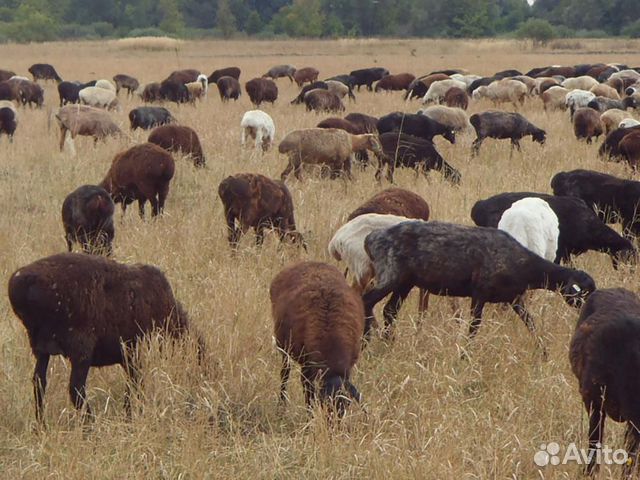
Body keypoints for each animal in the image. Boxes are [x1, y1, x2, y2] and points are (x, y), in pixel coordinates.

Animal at [8, 252, 196, 423]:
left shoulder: (129, 355)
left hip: (41, 349)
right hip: (80, 350)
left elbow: (135, 383)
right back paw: (90, 426)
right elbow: (135, 383)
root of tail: (24, 282)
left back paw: (41, 426)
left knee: (39, 383)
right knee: (76, 389)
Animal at [271, 261, 364, 414]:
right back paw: (281, 405)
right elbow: (308, 396)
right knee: (285, 373)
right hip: (284, 348)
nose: (333, 420)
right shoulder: (307, 366)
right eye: (324, 403)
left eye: (346, 405)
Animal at [361, 221, 595, 353]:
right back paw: (366, 341)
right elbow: (474, 326)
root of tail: (371, 238)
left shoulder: (514, 298)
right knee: (367, 301)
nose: (587, 316)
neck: (526, 267)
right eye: (582, 293)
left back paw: (388, 343)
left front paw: (543, 353)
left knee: (389, 310)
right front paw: (465, 355)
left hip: (406, 281)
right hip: (390, 273)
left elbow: (531, 323)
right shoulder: (480, 292)